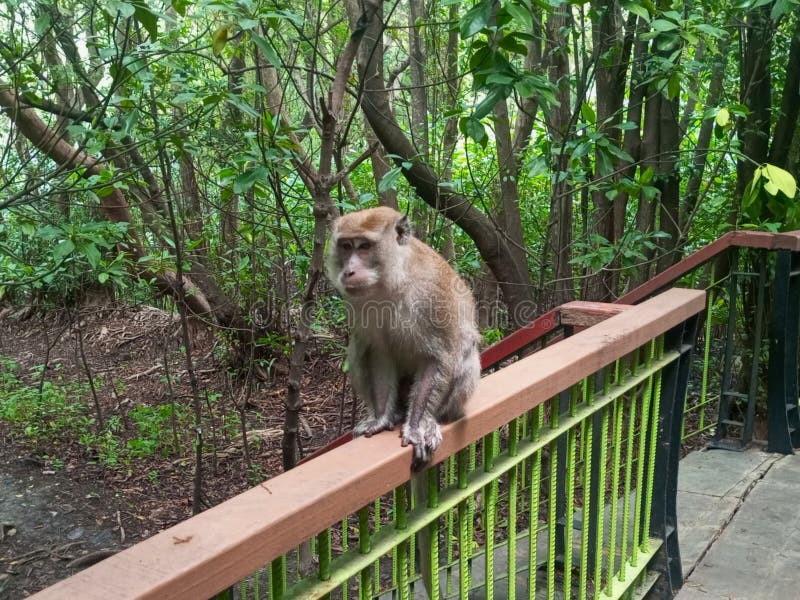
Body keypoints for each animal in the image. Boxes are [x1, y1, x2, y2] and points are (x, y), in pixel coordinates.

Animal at [325, 206, 481, 471]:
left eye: (364, 246)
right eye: (346, 246)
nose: (349, 271)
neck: (394, 280)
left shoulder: (430, 295)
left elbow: (436, 357)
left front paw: (417, 425)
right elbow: (378, 353)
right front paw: (380, 418)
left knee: (466, 353)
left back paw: (432, 419)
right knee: (358, 350)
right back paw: (394, 413)